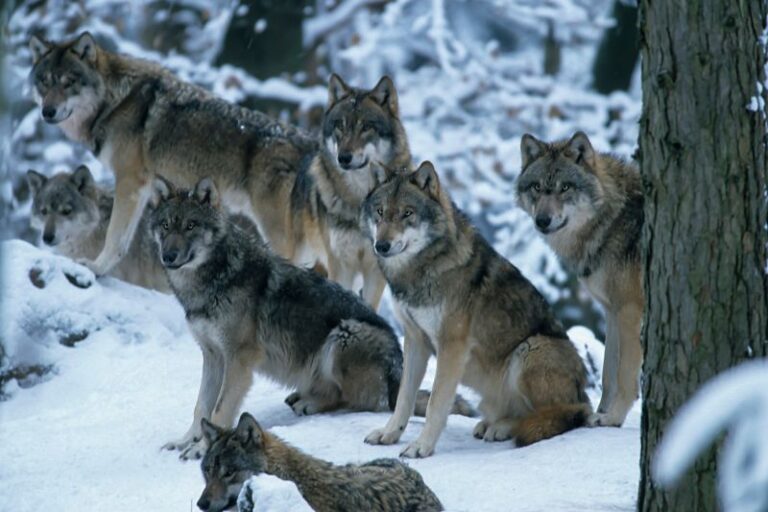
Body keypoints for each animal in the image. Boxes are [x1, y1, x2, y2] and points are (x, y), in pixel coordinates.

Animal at [28, 32, 320, 278]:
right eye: (44, 82)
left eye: (68, 83)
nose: (47, 111)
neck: (115, 102)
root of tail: (314, 146)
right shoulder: (146, 189)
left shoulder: (130, 181)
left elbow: (115, 238)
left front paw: (96, 268)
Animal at [150, 176, 473, 460]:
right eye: (166, 226)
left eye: (191, 225)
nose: (168, 256)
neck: (211, 281)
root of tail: (397, 372)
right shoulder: (213, 356)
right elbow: (201, 407)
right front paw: (185, 441)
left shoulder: (239, 360)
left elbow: (218, 410)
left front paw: (200, 449)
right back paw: (303, 398)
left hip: (341, 336)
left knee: (366, 401)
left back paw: (310, 403)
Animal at [306, 74, 412, 309]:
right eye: (340, 125)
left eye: (366, 127)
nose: (344, 157)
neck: (360, 201)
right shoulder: (340, 263)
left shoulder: (376, 268)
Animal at [362, 162, 591, 458]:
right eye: (380, 212)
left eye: (407, 213)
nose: (381, 245)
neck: (420, 270)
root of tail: (584, 395)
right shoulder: (415, 341)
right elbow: (404, 398)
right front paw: (390, 434)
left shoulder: (451, 347)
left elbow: (436, 402)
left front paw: (422, 447)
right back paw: (491, 424)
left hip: (532, 348)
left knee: (557, 414)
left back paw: (503, 428)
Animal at [516, 131, 643, 427]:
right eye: (537, 187)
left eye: (565, 188)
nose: (542, 220)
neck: (611, 221)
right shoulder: (612, 312)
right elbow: (608, 374)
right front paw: (600, 413)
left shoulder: (630, 311)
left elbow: (625, 375)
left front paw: (613, 418)